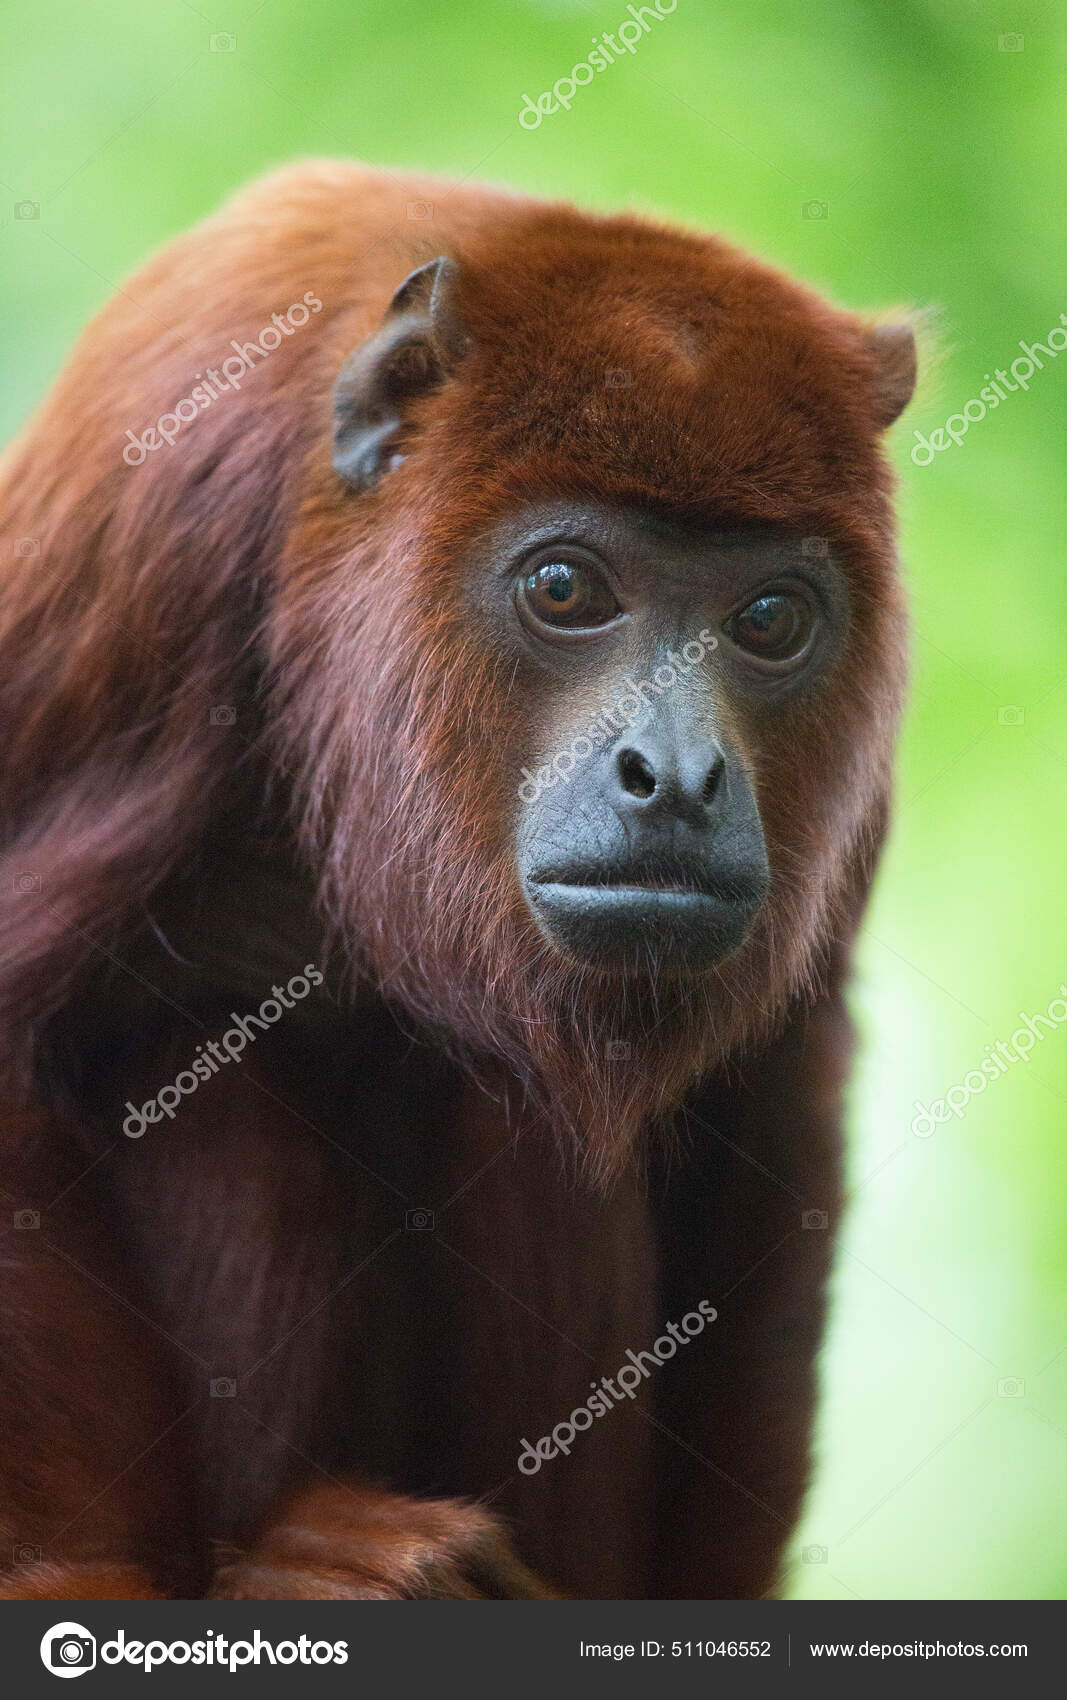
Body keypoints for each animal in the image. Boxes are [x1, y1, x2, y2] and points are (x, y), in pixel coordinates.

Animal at [0, 160, 916, 1600]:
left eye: (769, 618)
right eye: (564, 587)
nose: (677, 775)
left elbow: (770, 1095)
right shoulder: (141, 533)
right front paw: (77, 1587)